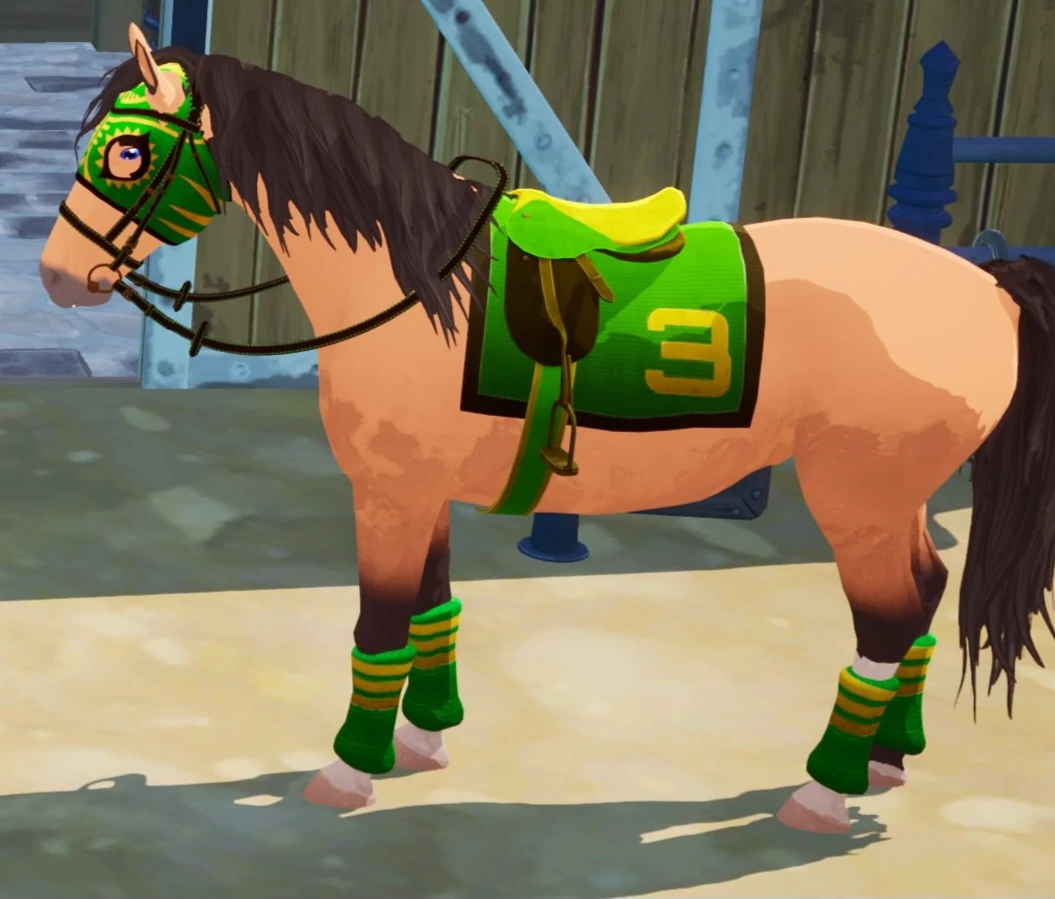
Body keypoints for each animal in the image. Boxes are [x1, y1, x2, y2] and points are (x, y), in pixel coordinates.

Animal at [39, 23, 1055, 835]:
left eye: (127, 153)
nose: (56, 275)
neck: (417, 288)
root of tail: (986, 283)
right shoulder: (421, 492)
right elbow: (432, 605)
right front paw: (423, 740)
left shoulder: (389, 492)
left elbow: (379, 622)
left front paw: (349, 767)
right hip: (895, 495)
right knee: (925, 594)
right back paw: (889, 758)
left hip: (857, 496)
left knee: (886, 619)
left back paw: (825, 789)